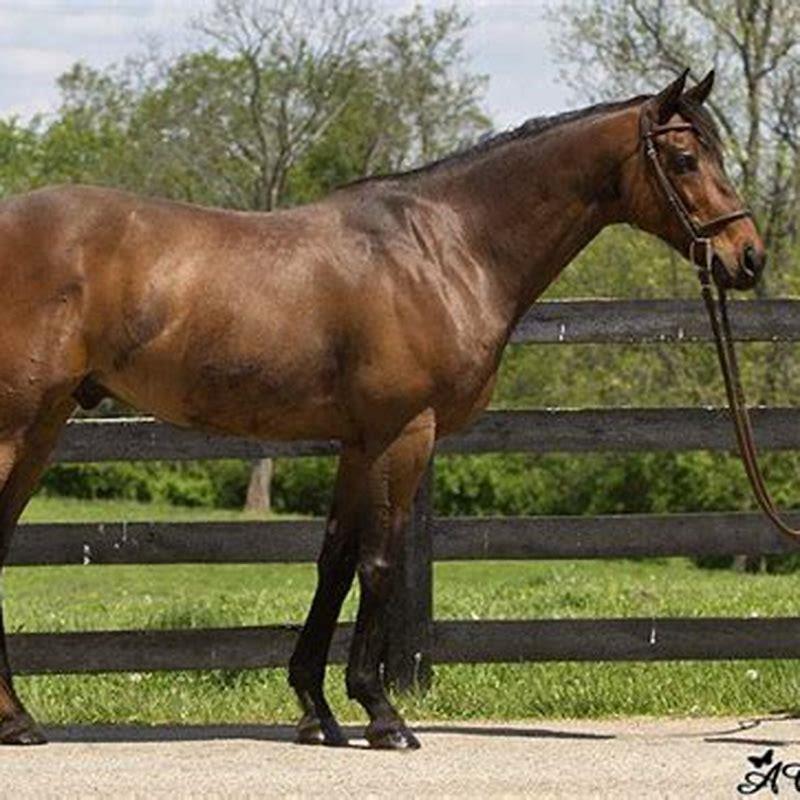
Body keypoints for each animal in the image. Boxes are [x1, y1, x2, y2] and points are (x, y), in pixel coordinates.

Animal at [0, 69, 764, 748]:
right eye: (686, 157)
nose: (749, 256)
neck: (444, 248)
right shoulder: (405, 433)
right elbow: (379, 564)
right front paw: (381, 712)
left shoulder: (358, 442)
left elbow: (335, 562)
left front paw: (316, 709)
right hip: (17, 428)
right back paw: (16, 720)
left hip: (43, 429)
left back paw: (19, 719)